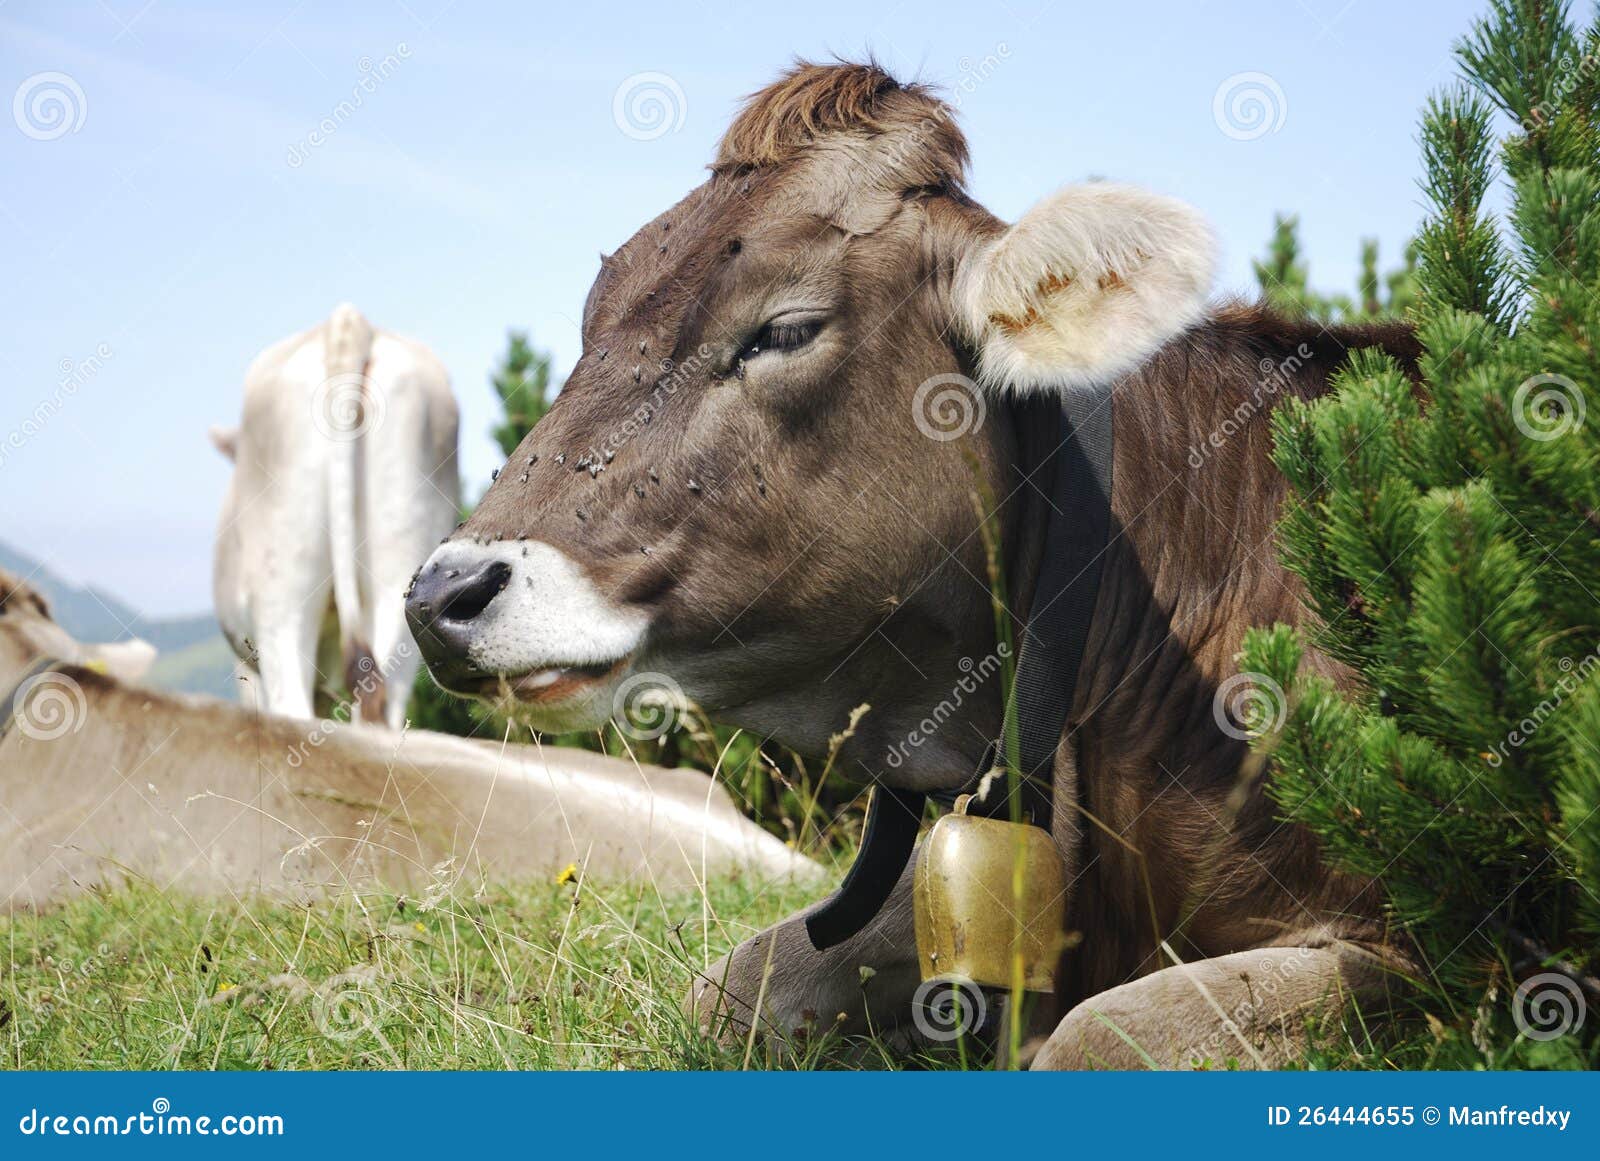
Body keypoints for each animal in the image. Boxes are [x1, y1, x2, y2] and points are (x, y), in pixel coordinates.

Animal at [404, 63, 1418, 1068]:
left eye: (785, 330)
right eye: (594, 324)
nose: (443, 595)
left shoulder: (1412, 947)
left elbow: (1099, 1042)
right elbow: (733, 986)